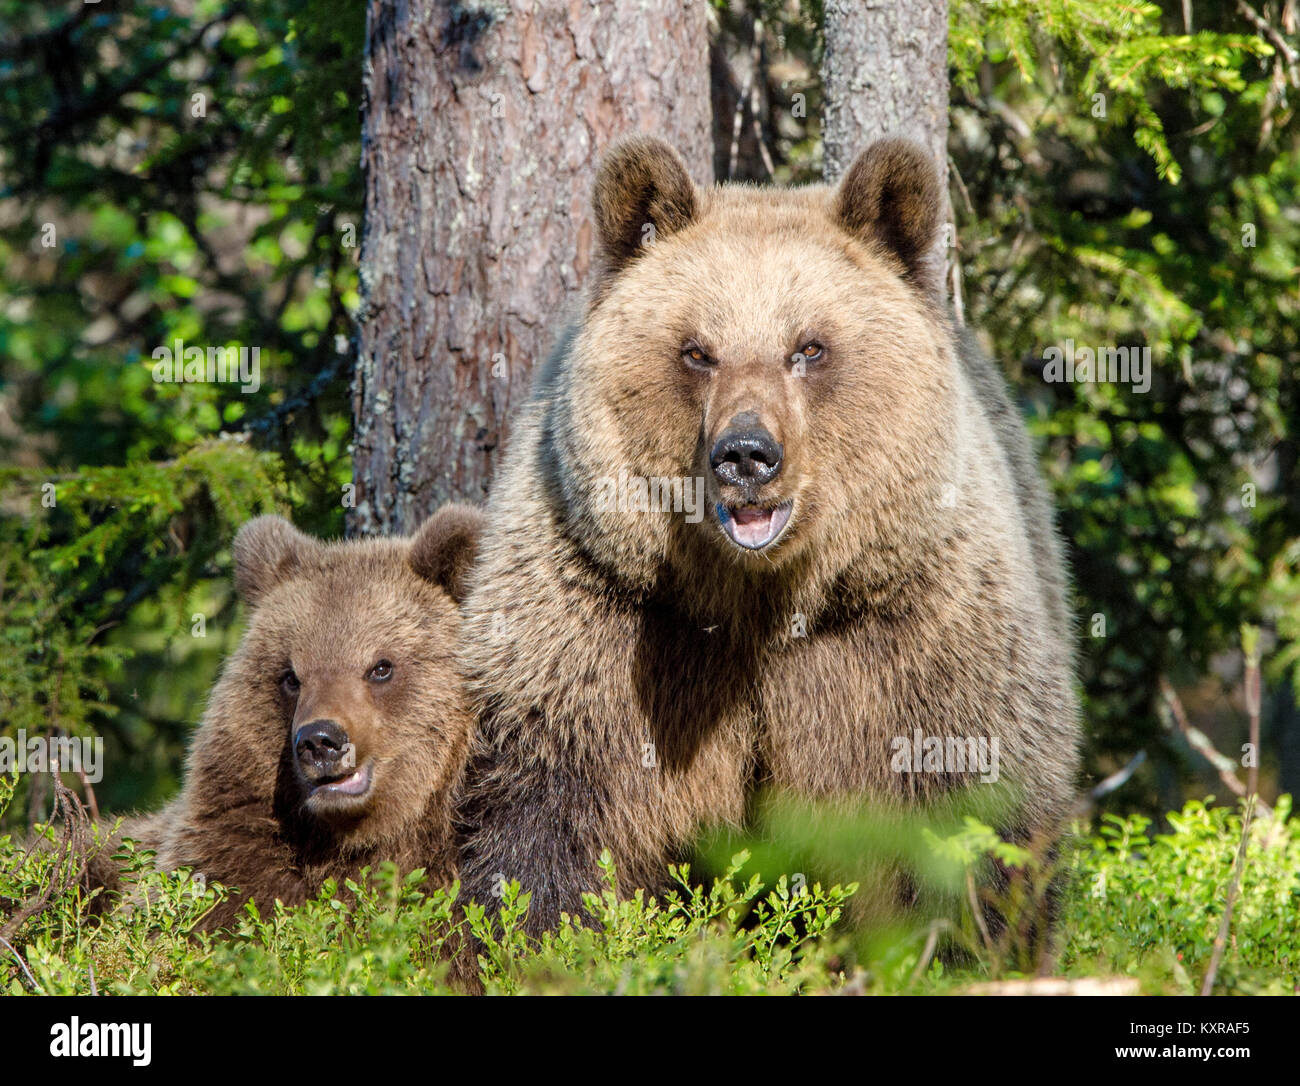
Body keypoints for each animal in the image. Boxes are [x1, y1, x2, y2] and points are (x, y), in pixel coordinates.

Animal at [452, 136, 1081, 934]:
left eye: (808, 347)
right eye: (697, 350)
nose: (746, 454)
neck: (757, 603)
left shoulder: (914, 645)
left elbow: (962, 822)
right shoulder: (610, 626)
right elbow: (550, 820)